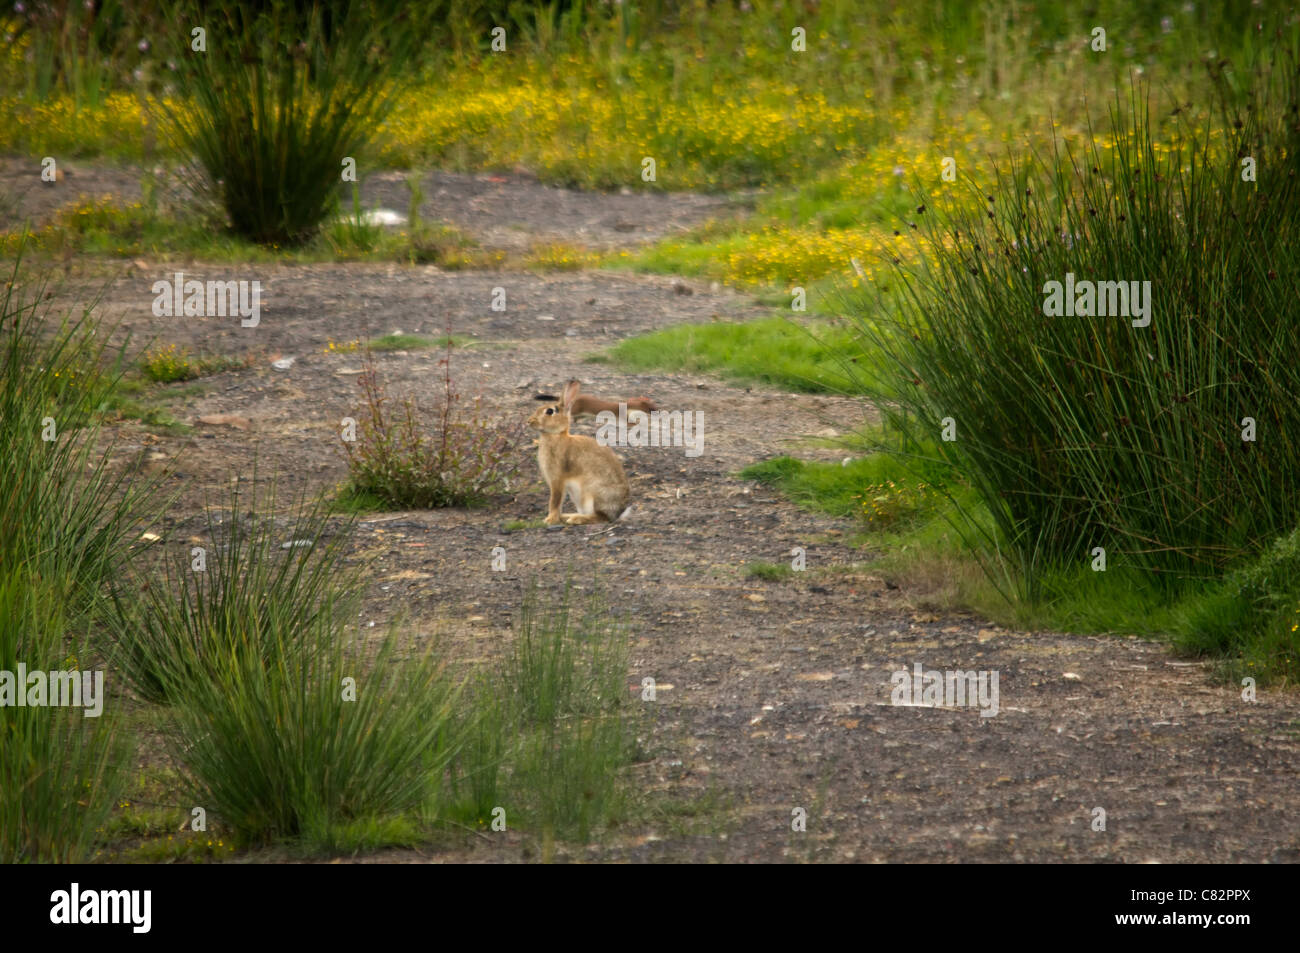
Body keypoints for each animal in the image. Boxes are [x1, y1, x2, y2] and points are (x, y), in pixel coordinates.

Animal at [527, 380, 631, 525]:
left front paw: (550, 519)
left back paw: (575, 518)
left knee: (601, 517)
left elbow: (555, 500)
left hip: (592, 495)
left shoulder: (557, 479)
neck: (556, 435)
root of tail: (619, 512)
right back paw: (567, 516)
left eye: (550, 411)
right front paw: (554, 518)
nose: (529, 421)